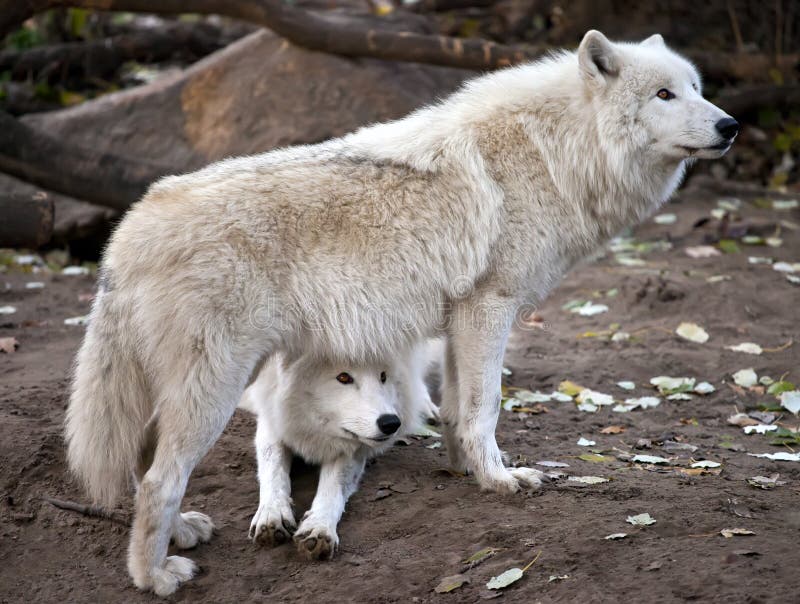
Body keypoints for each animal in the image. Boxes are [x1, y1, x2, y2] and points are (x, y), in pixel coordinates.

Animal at [65, 30, 737, 595]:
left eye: (697, 87)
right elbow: (488, 406)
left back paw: (181, 533)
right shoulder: (490, 308)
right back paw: (155, 576)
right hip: (217, 387)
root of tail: (127, 231)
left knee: (142, 467)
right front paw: (501, 481)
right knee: (160, 478)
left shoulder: (461, 321)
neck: (553, 153)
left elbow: (460, 409)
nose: (731, 124)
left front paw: (467, 472)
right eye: (663, 94)